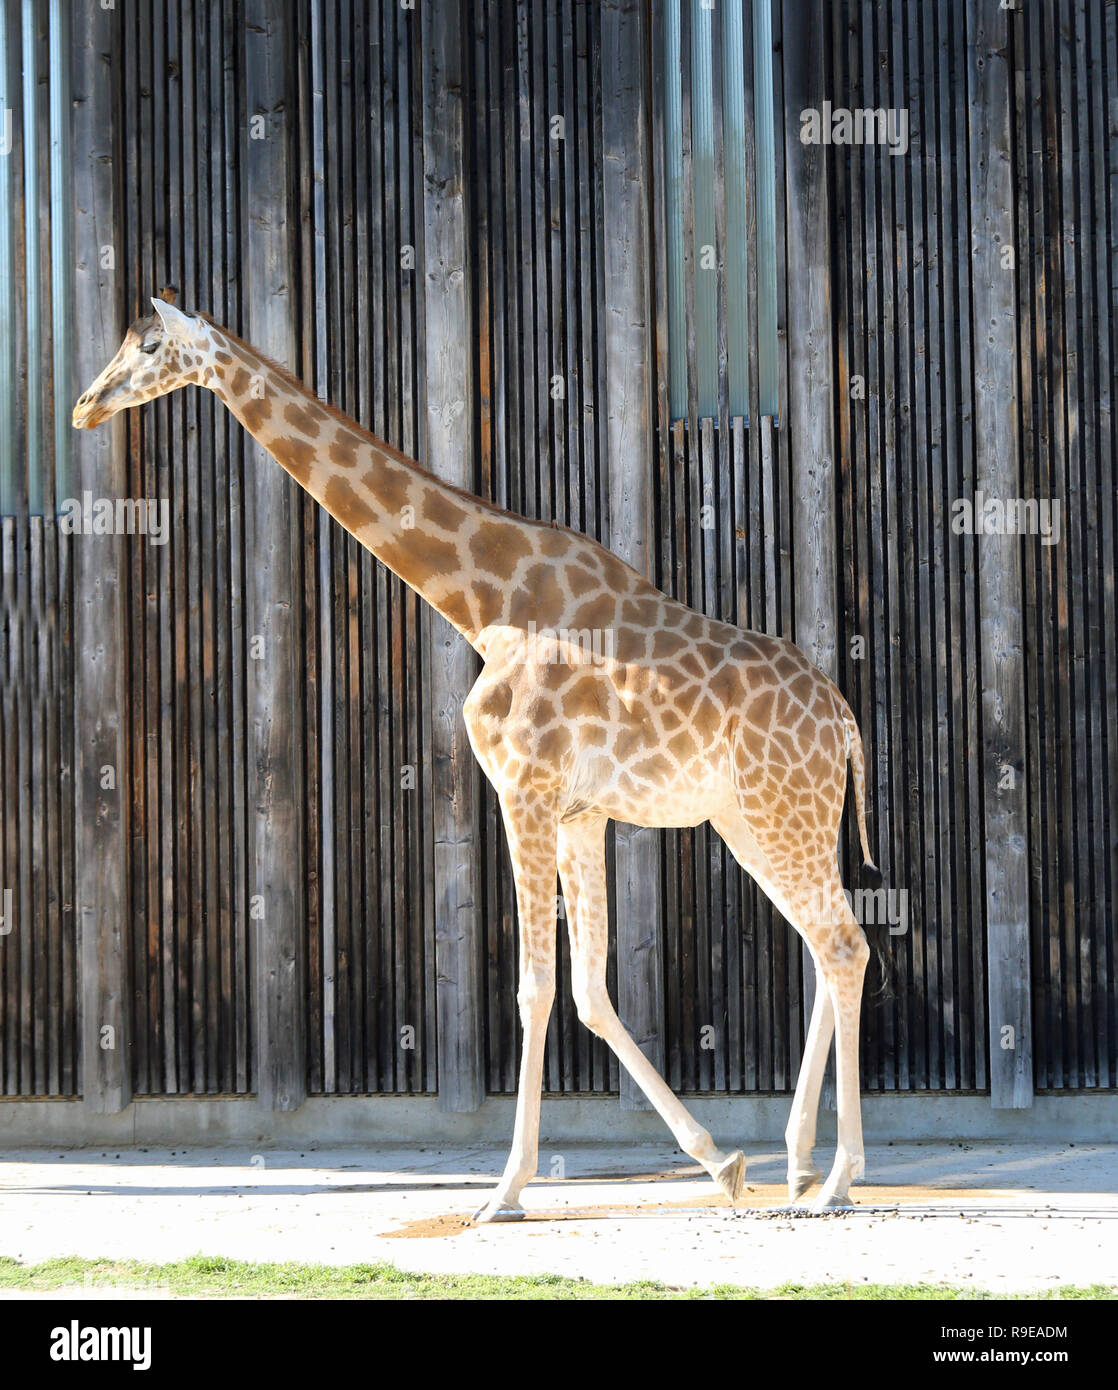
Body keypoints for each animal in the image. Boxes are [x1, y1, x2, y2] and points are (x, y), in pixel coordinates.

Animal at [74, 290, 882, 1220]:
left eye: (150, 345)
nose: (84, 405)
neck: (486, 600)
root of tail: (844, 719)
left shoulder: (523, 788)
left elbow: (535, 987)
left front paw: (504, 1190)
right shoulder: (580, 811)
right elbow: (590, 991)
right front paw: (719, 1161)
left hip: (785, 810)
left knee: (843, 944)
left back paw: (838, 1179)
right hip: (750, 818)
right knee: (823, 944)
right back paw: (798, 1162)